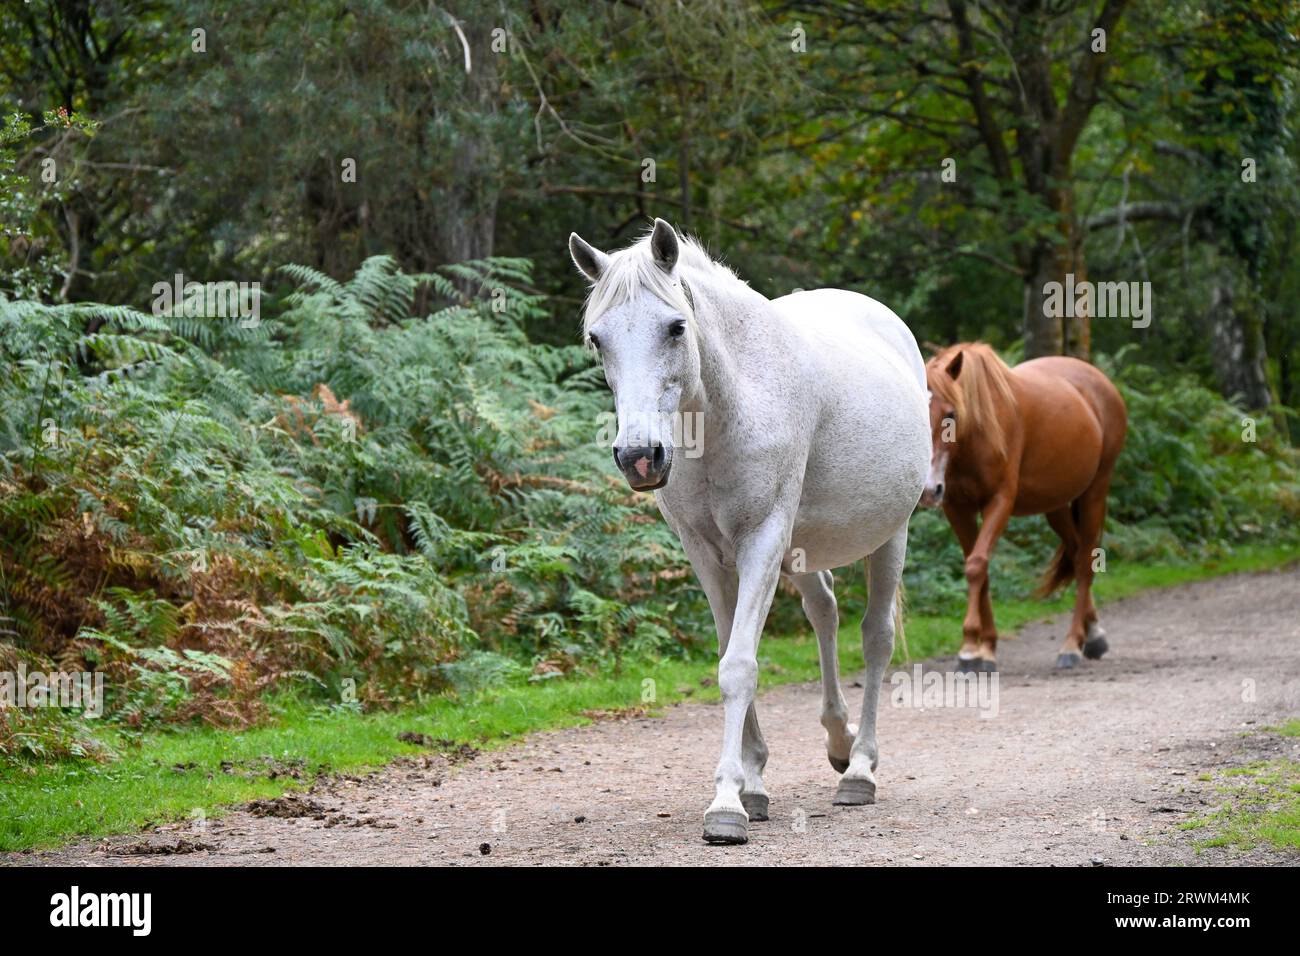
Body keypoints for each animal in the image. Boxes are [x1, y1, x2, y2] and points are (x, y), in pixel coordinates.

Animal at [567, 219, 930, 845]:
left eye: (675, 326)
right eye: (597, 338)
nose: (640, 456)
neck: (731, 406)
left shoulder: (761, 539)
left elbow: (739, 666)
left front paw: (726, 806)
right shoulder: (707, 553)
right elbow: (729, 649)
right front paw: (753, 786)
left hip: (891, 535)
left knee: (876, 637)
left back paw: (859, 769)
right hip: (801, 551)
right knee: (824, 611)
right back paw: (837, 742)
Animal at [918, 342, 1128, 671]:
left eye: (951, 414)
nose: (928, 489)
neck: (977, 433)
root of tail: (1100, 382)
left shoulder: (999, 502)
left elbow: (977, 565)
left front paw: (969, 649)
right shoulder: (957, 509)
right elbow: (978, 568)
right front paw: (986, 647)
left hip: (1095, 491)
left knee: (1085, 562)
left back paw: (1071, 645)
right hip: (1056, 506)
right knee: (1076, 551)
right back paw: (1093, 634)